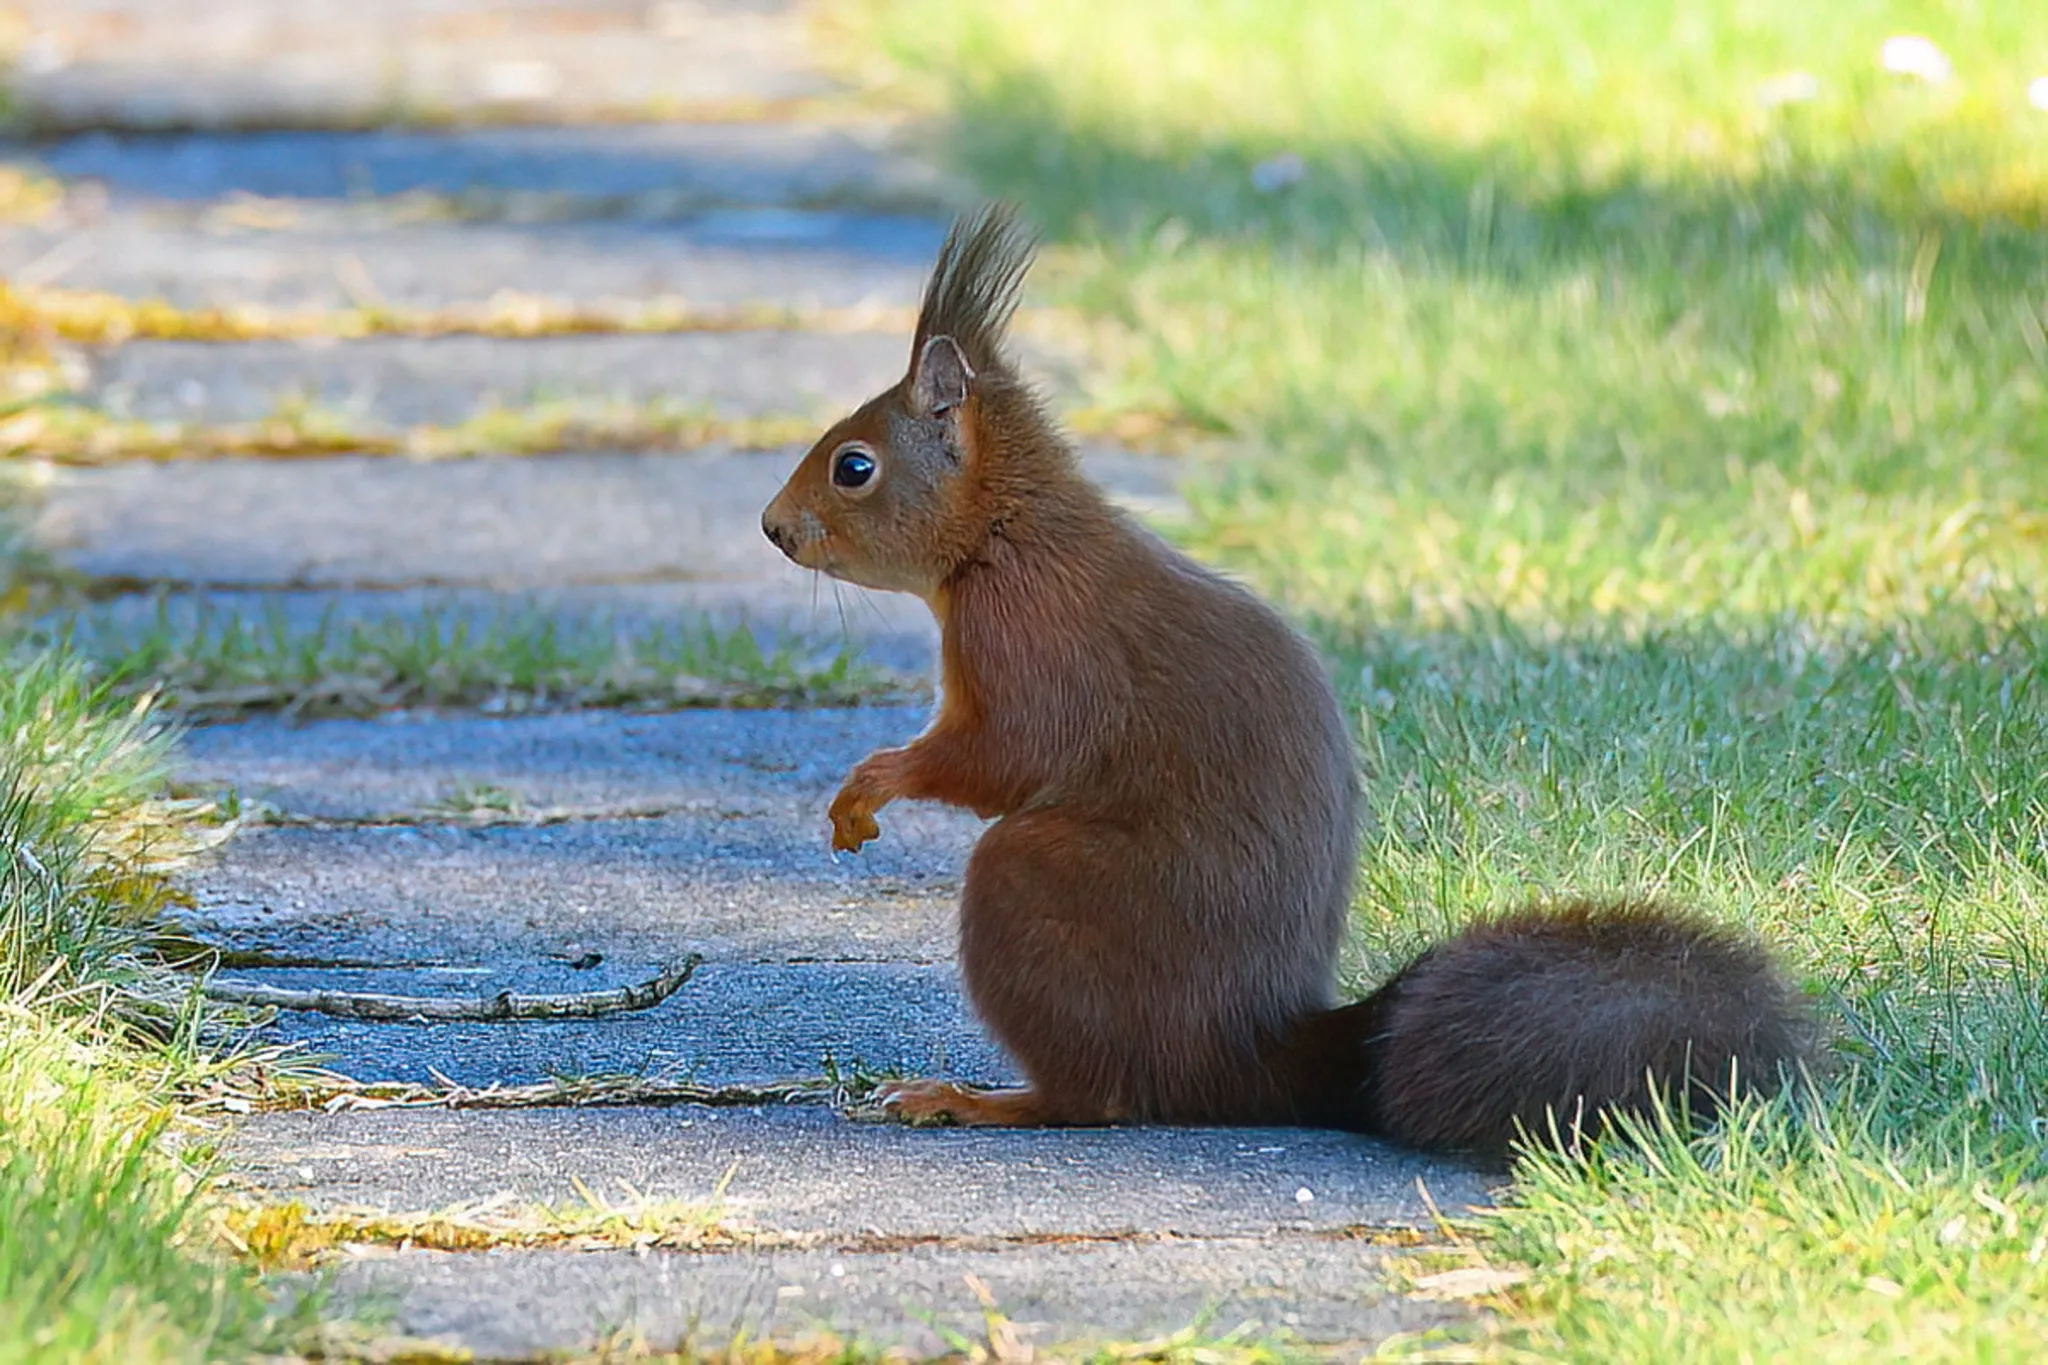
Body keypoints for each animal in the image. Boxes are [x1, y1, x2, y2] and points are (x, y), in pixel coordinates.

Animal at [760, 203, 1814, 1163]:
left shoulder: (1030, 637)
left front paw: (870, 786)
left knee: (1101, 1097)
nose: (772, 528)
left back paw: (975, 1099)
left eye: (854, 466)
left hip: (1033, 888)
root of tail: (1249, 1056)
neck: (1004, 534)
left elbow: (1008, 754)